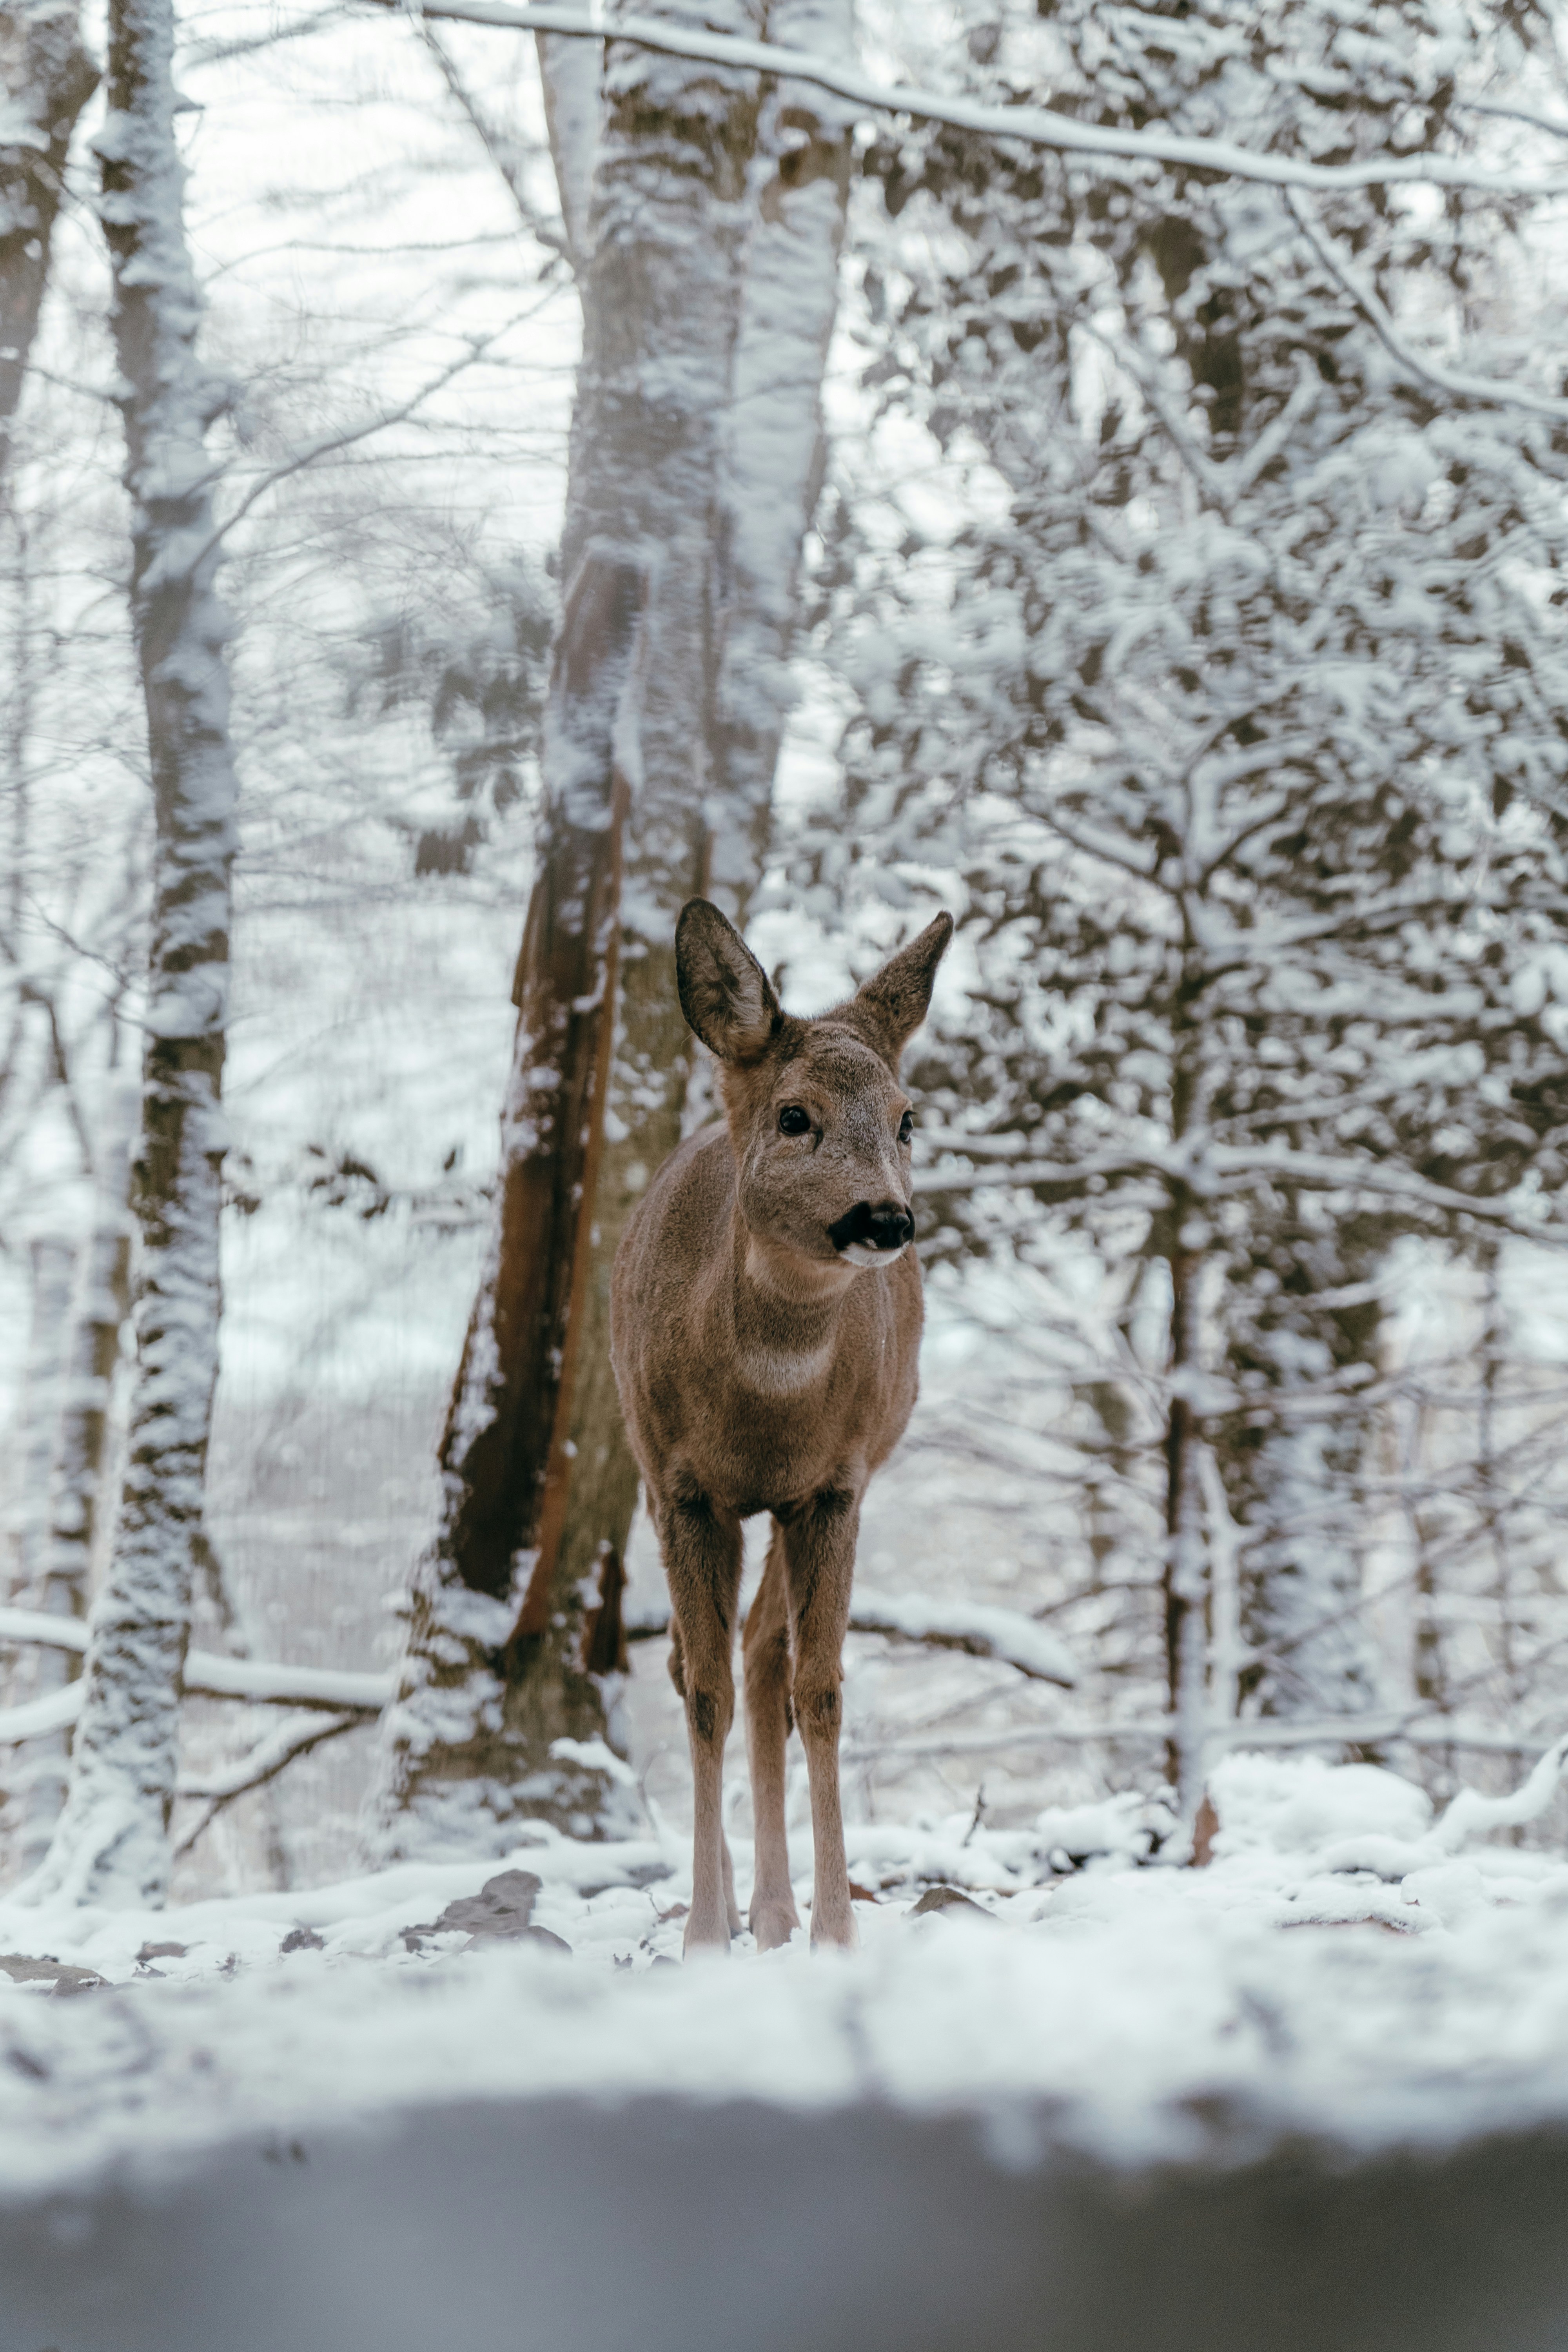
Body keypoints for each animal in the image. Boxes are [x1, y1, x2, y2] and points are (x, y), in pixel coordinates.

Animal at [610, 898, 953, 1956]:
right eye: (794, 1115)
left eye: (906, 1118)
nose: (886, 1219)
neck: (764, 1403)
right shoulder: (680, 1485)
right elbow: (702, 1689)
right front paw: (699, 1936)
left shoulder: (837, 1484)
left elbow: (821, 1689)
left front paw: (836, 1932)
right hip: (651, 1474)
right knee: (699, 1662)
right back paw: (739, 1909)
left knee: (767, 1657)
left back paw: (775, 1911)